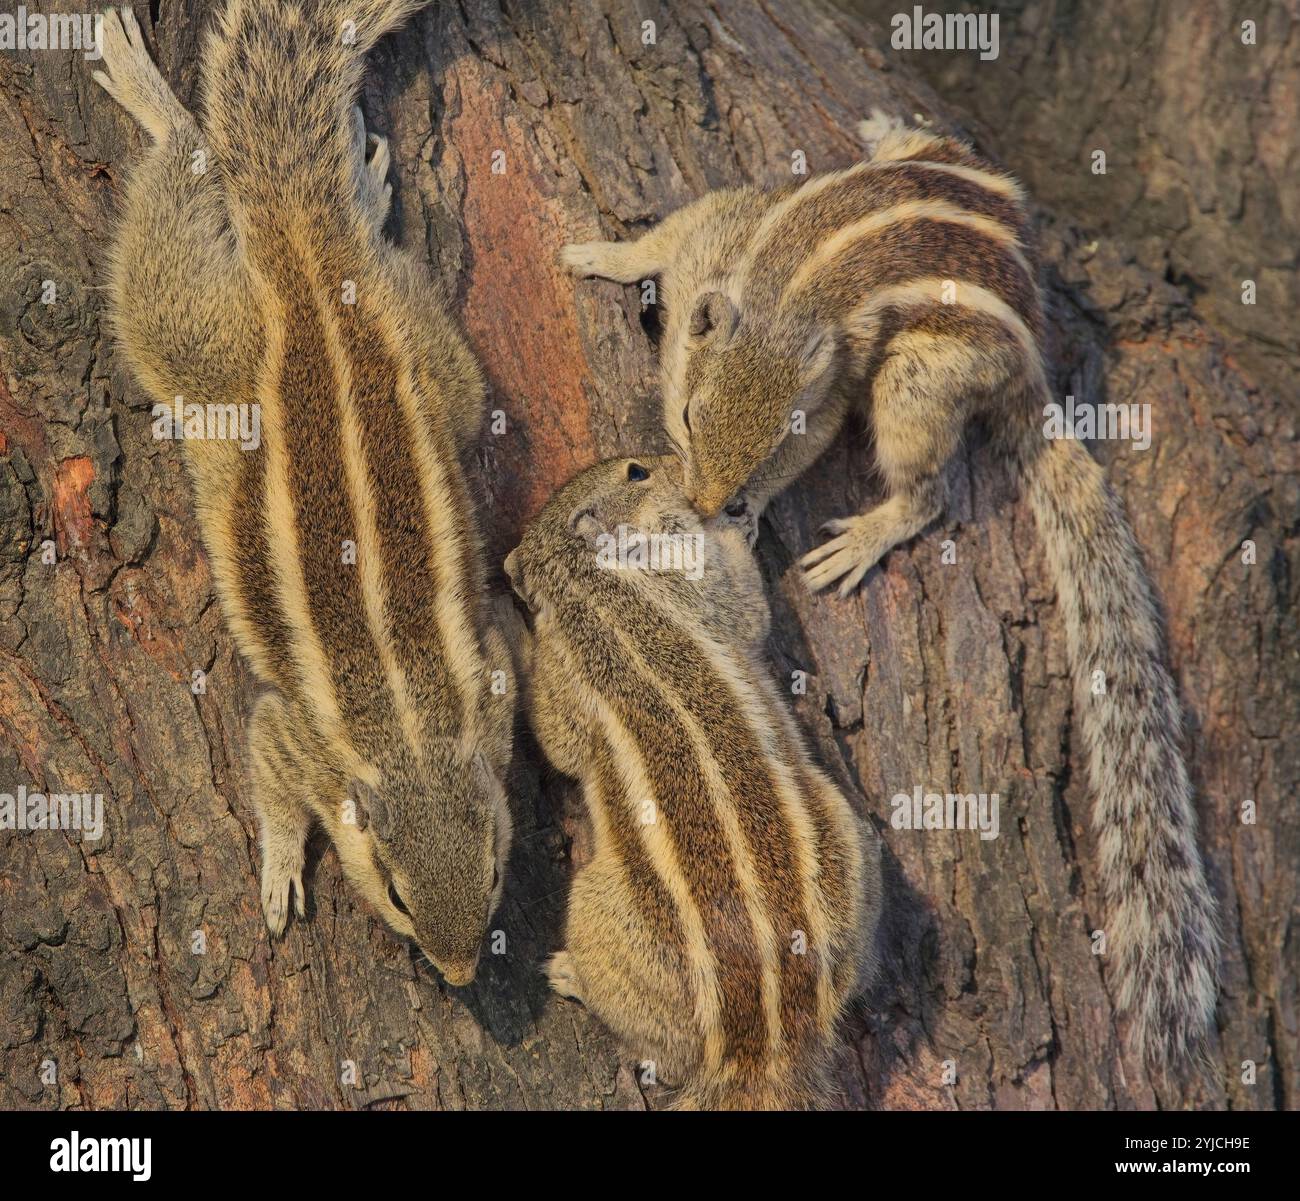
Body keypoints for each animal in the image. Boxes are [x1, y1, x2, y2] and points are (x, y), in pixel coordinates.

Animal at [94, 2, 514, 986]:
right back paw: (156, 102)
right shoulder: (292, 737)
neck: (406, 733)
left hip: (432, 350)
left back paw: (359, 187)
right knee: (171, 225)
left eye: (494, 867)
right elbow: (271, 775)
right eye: (397, 894)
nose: (461, 974)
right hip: (202, 347)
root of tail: (307, 261)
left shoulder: (488, 695)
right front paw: (283, 866)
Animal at [505, 455, 883, 1109]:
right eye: (636, 472)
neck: (600, 589)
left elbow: (556, 737)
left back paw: (571, 974)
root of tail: (768, 1046)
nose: (665, 464)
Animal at [560, 113, 1218, 1065]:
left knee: (929, 490)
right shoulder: (715, 231)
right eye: (686, 415)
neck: (784, 299)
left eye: (768, 445)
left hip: (919, 380)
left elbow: (816, 434)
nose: (710, 499)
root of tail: (1031, 350)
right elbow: (660, 238)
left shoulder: (834, 386)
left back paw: (869, 534)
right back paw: (886, 130)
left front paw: (752, 509)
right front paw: (599, 254)